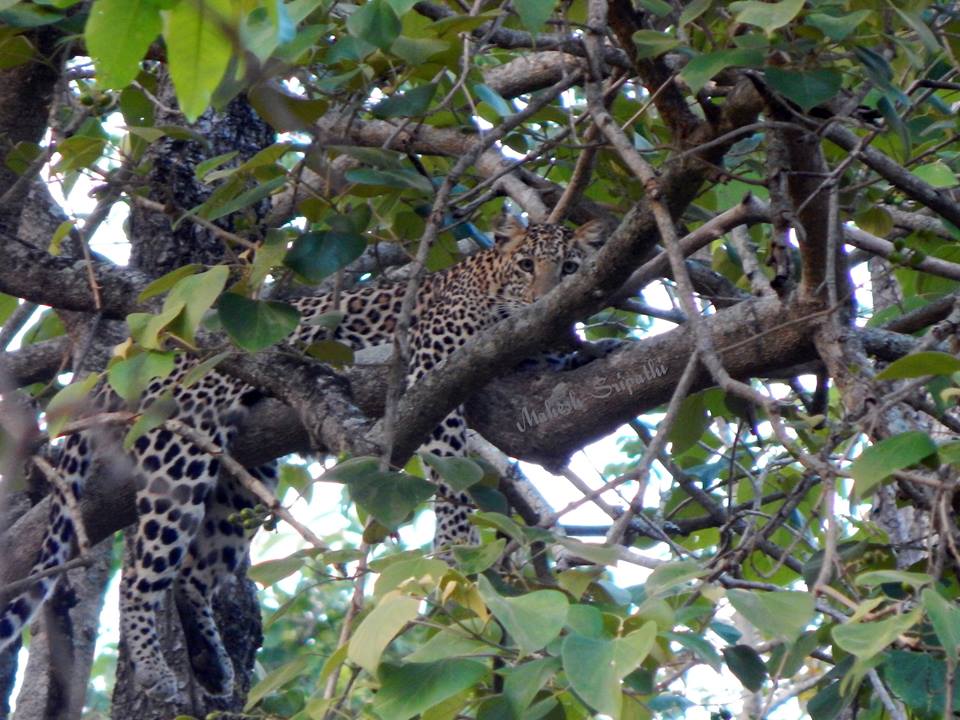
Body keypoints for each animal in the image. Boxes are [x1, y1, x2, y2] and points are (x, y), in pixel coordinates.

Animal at [0, 215, 606, 702]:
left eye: (571, 267)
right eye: (526, 265)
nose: (545, 301)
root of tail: (136, 358)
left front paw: (590, 349)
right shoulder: (431, 366)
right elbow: (450, 462)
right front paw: (456, 543)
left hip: (243, 476)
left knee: (192, 574)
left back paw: (212, 666)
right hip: (180, 448)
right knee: (140, 574)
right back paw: (154, 668)